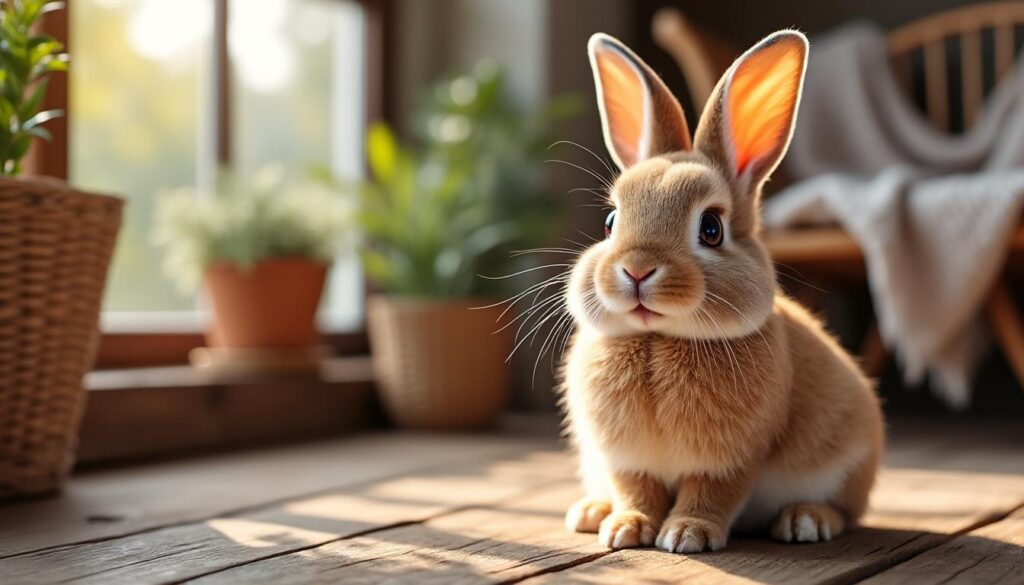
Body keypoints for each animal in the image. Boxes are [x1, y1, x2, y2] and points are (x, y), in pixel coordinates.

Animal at [559, 30, 884, 554]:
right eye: (610, 222)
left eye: (711, 229)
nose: (636, 269)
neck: (659, 339)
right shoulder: (625, 458)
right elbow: (638, 489)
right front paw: (626, 528)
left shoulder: (732, 460)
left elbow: (711, 492)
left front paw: (687, 535)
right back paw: (592, 512)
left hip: (848, 461)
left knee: (845, 511)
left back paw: (805, 521)